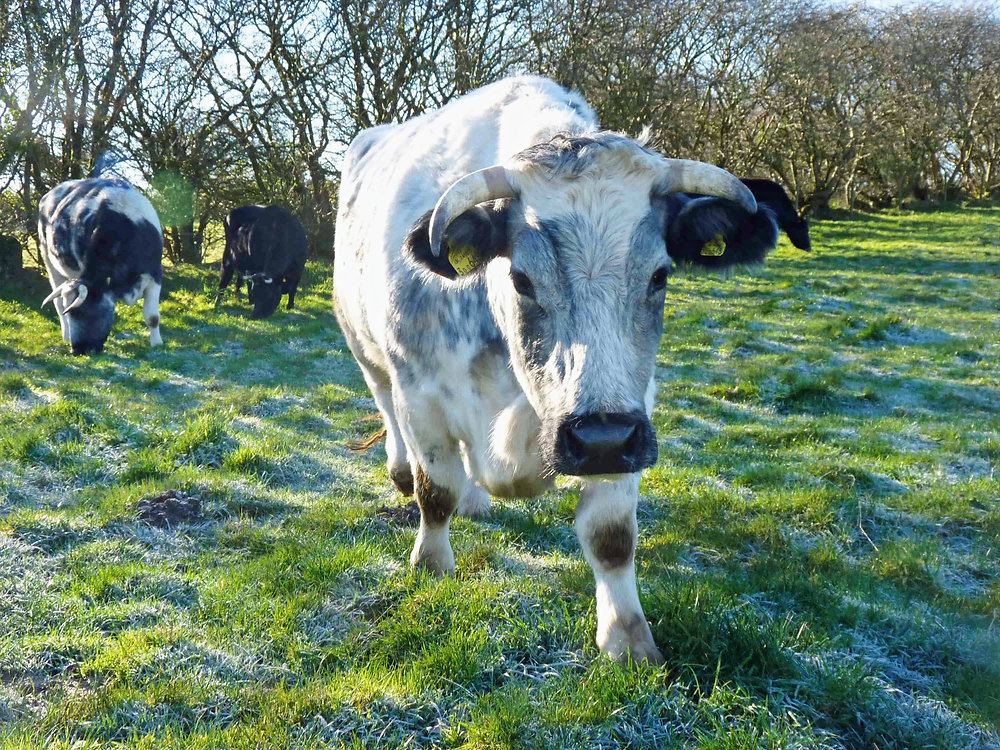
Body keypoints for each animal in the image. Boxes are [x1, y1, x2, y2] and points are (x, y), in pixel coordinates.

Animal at [38, 177, 163, 355]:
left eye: (84, 313)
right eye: (71, 314)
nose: (77, 350)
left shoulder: (155, 273)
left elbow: (152, 316)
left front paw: (157, 343)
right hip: (47, 257)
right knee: (58, 302)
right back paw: (66, 336)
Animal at [334, 76, 780, 666]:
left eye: (660, 275)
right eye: (521, 278)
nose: (600, 441)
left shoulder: (631, 412)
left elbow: (611, 534)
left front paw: (627, 640)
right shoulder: (419, 393)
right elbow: (437, 491)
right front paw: (430, 566)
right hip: (365, 351)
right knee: (388, 412)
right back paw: (403, 471)